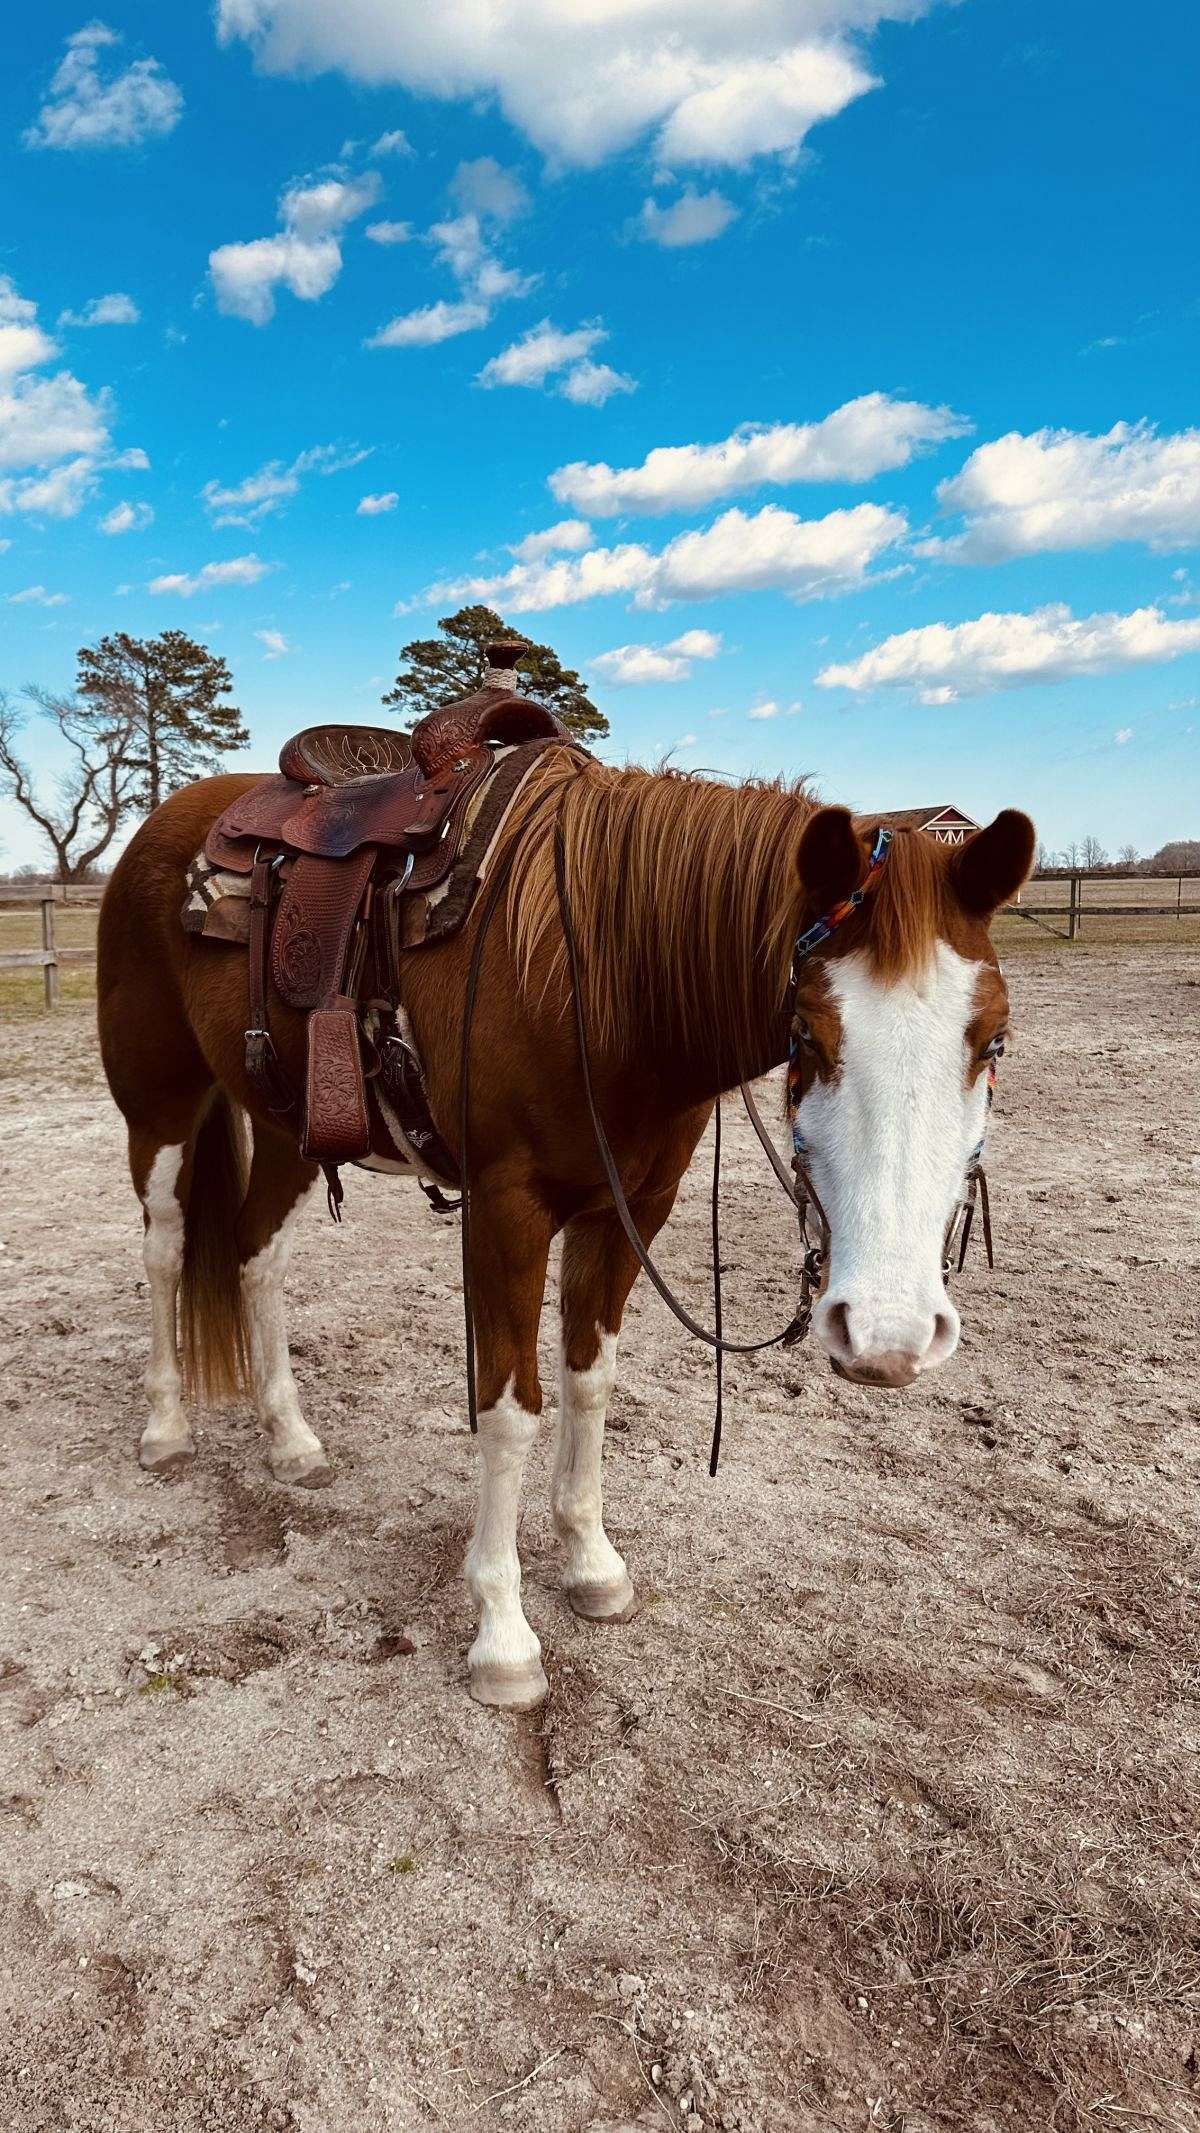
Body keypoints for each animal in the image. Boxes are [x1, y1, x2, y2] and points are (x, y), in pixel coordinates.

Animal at [97, 748, 1034, 1709]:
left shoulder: (628, 1211)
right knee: (165, 1249)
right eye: (808, 1034)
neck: (605, 981)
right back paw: (166, 1428)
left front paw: (591, 1564)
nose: (889, 1334)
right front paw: (503, 1636)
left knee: (256, 1254)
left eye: (994, 1041)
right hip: (160, 1105)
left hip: (290, 1127)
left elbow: (590, 1381)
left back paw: (289, 1439)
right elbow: (511, 1409)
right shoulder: (506, 1211)